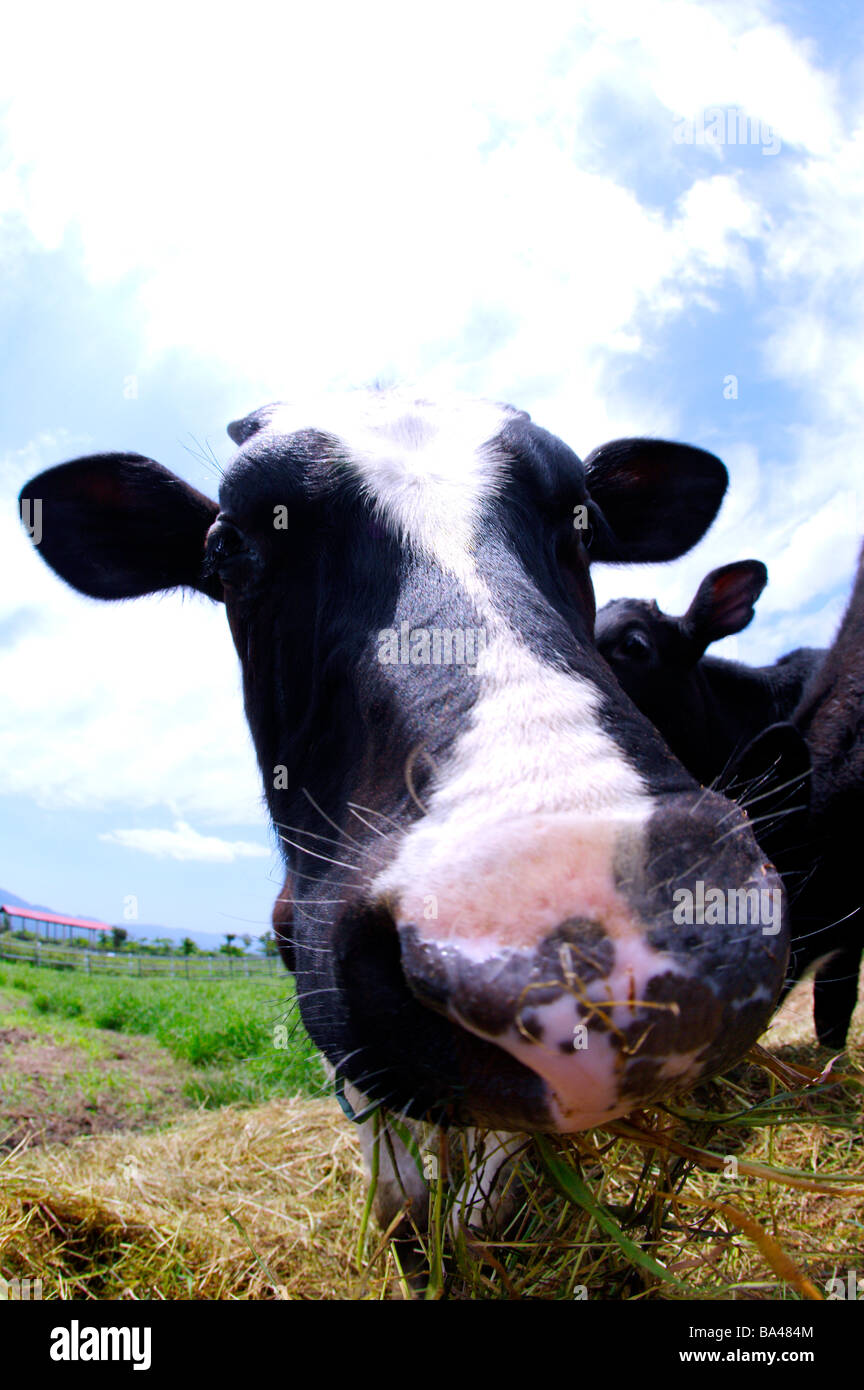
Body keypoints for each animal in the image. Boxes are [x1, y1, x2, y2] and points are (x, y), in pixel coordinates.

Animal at [19, 391, 788, 1249]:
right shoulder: (311, 962)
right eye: (228, 545)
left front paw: (477, 1210)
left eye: (585, 522)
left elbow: (487, 1190)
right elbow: (399, 1193)